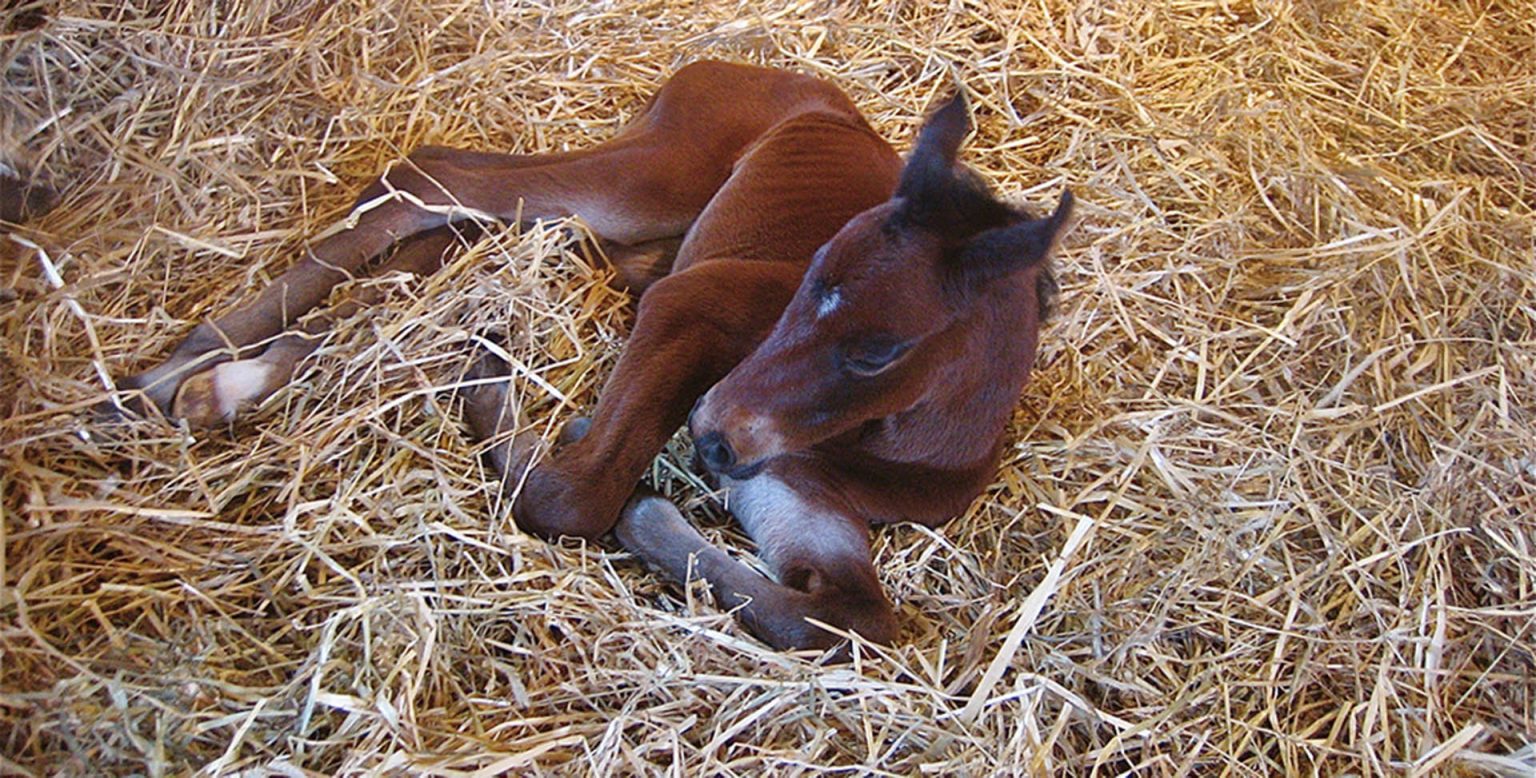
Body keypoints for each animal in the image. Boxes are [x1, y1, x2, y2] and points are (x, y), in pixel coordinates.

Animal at [116, 61, 1073, 653]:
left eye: (881, 350)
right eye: (812, 271)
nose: (708, 437)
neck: (878, 440)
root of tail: (745, 65)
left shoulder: (792, 481)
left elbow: (849, 615)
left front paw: (634, 500)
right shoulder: (694, 308)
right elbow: (574, 495)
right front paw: (510, 402)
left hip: (625, 241)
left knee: (439, 254)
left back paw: (219, 383)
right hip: (652, 182)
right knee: (432, 180)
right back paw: (165, 374)